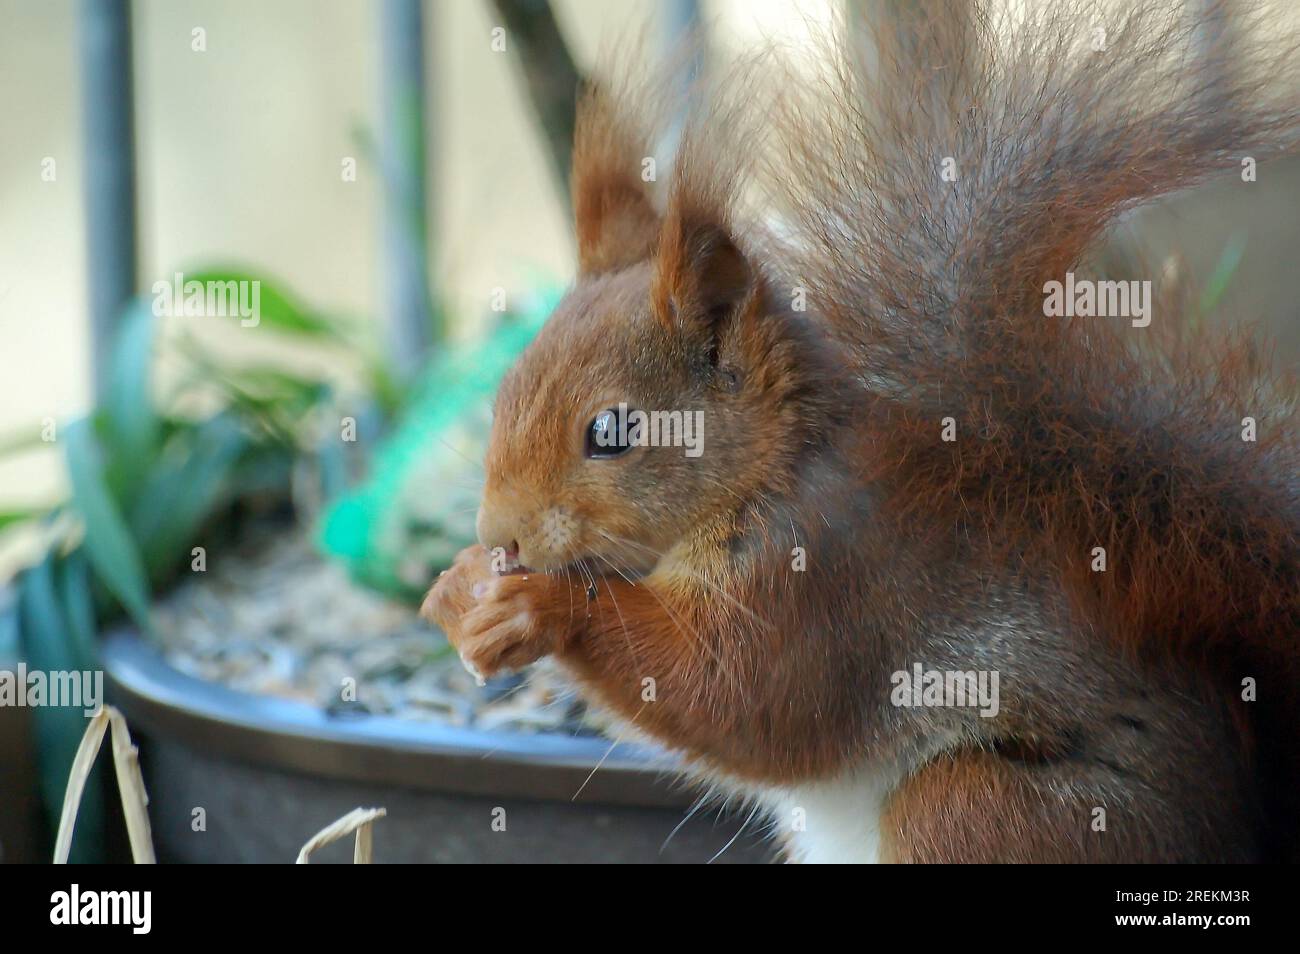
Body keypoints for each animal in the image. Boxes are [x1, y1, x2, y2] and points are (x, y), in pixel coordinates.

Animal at [423, 0, 1300, 863]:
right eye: (506, 385)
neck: (773, 473)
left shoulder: (828, 580)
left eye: (610, 432)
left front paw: (535, 606)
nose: (498, 534)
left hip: (982, 810)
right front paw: (463, 589)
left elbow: (726, 691)